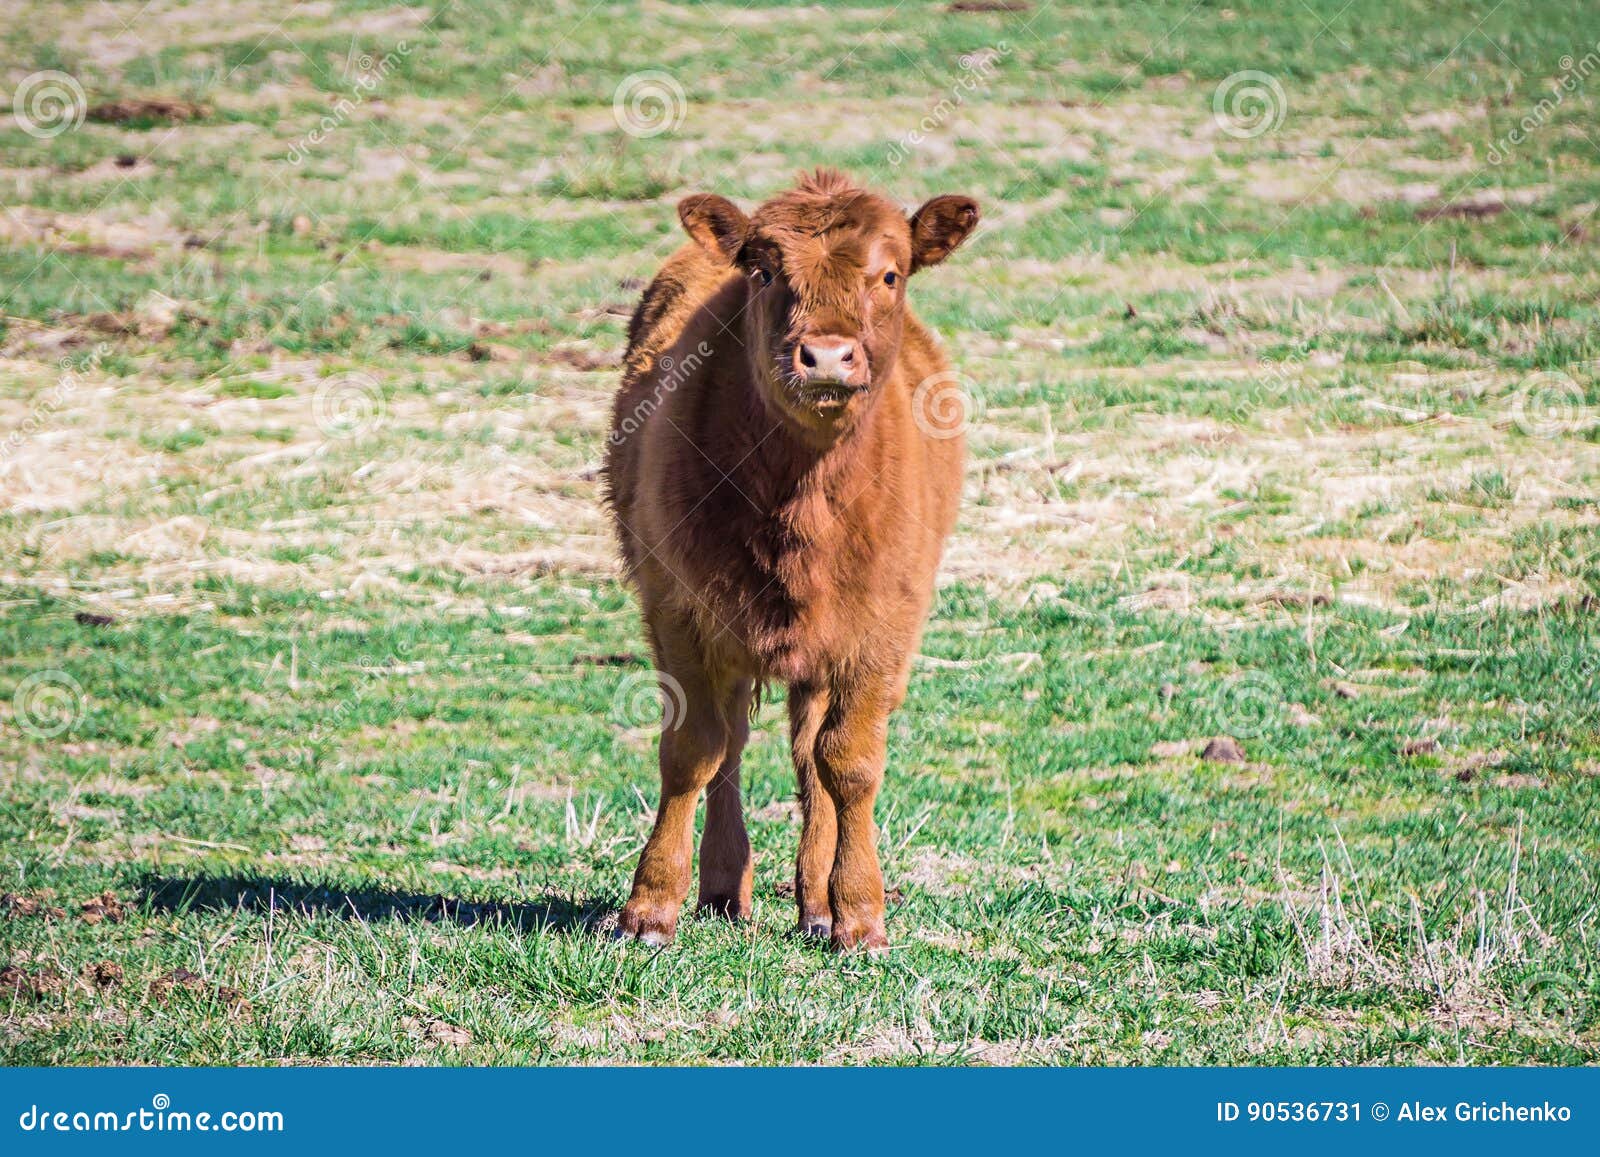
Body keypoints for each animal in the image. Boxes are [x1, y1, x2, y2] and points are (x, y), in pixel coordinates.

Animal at [602, 168, 979, 951]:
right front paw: (651, 907)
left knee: (811, 755)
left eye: (890, 273)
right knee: (735, 743)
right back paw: (723, 888)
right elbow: (692, 750)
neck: (803, 499)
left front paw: (859, 914)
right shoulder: (678, 608)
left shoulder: (885, 623)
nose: (827, 356)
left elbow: (850, 762)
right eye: (766, 271)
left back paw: (815, 902)